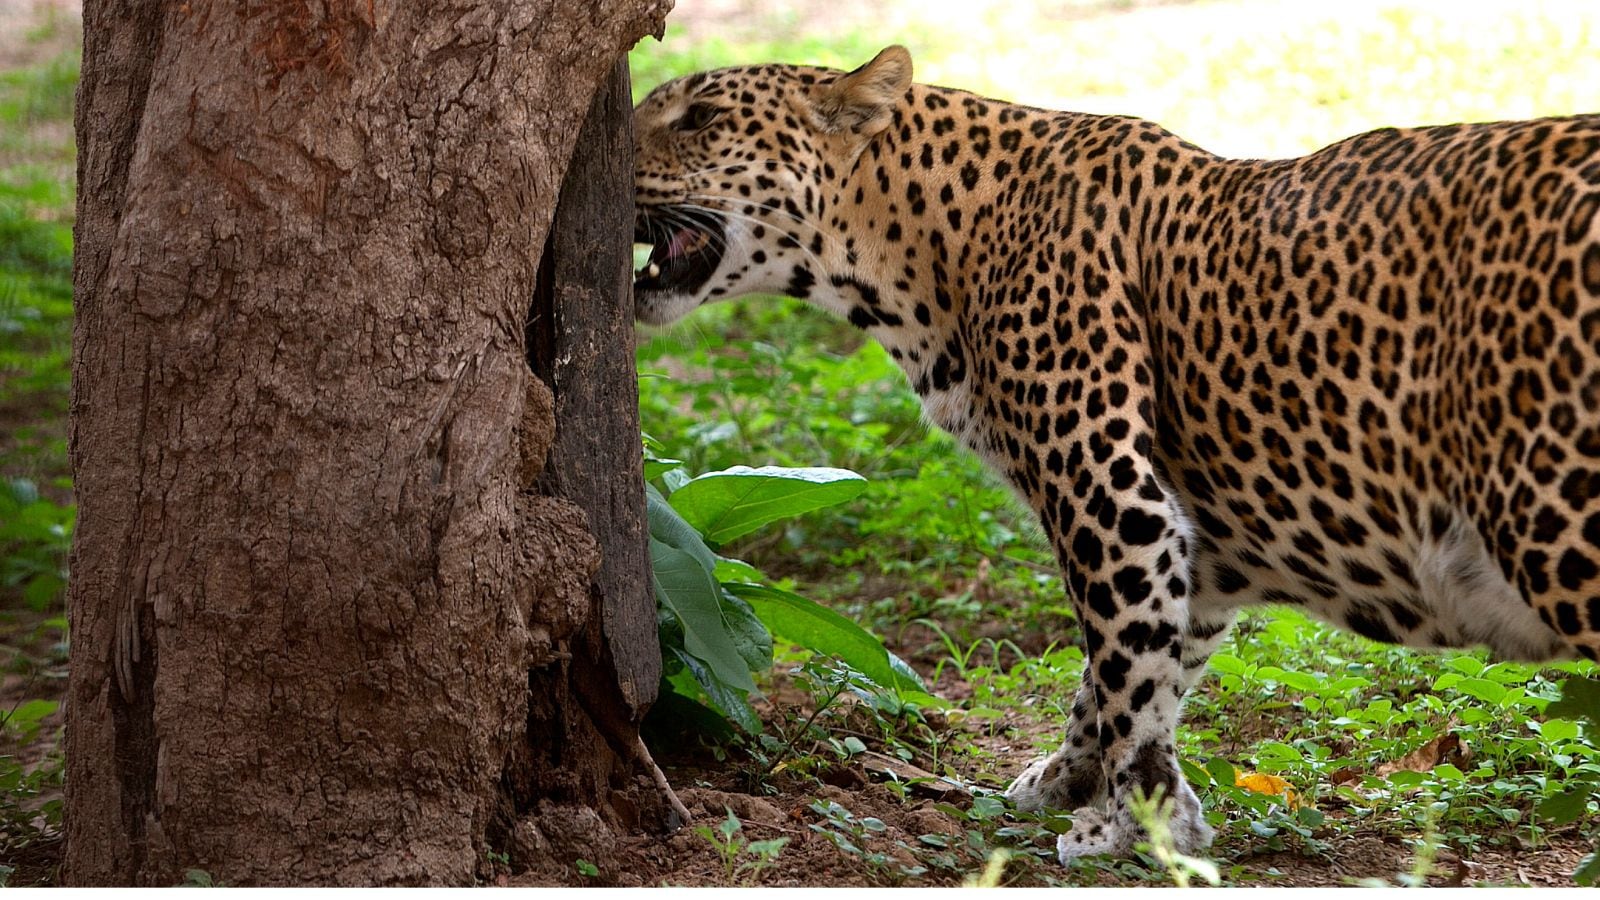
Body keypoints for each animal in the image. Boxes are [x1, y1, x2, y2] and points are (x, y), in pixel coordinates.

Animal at [630, 44, 1600, 862]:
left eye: (699, 116)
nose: (608, 165)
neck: (921, 246)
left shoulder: (1110, 495)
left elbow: (1125, 668)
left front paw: (1130, 825)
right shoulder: (1190, 537)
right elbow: (1127, 674)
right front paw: (1074, 785)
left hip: (1552, 515)